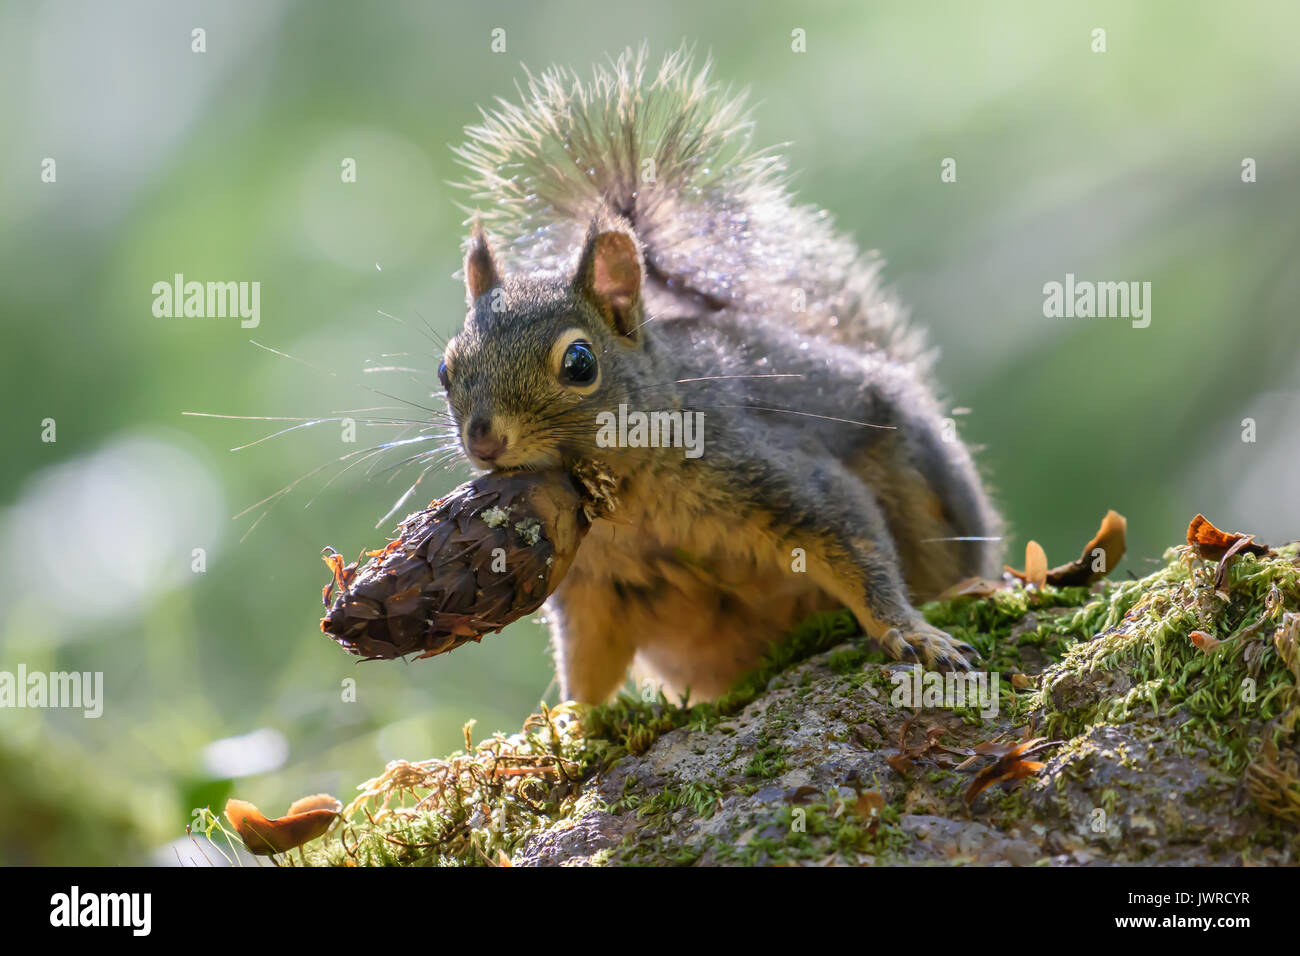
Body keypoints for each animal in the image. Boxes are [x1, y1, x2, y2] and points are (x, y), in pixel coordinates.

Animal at [438, 47, 1003, 703]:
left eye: (579, 364)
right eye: (445, 368)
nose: (483, 439)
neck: (626, 500)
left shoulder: (768, 467)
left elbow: (856, 546)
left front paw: (913, 634)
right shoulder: (591, 583)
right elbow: (588, 661)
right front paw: (566, 720)